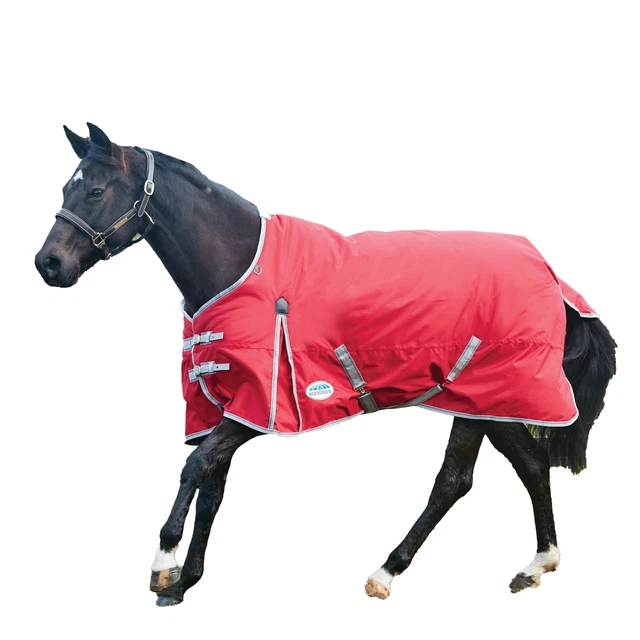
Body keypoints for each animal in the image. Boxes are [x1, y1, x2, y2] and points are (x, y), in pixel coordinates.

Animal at [35, 124, 617, 607]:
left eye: (95, 190)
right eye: (65, 189)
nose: (48, 264)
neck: (241, 267)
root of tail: (551, 275)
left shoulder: (259, 409)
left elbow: (195, 468)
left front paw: (163, 565)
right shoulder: (227, 405)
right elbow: (214, 485)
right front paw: (187, 581)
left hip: (484, 397)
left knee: (455, 480)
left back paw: (387, 573)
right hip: (487, 401)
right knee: (525, 465)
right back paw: (536, 564)